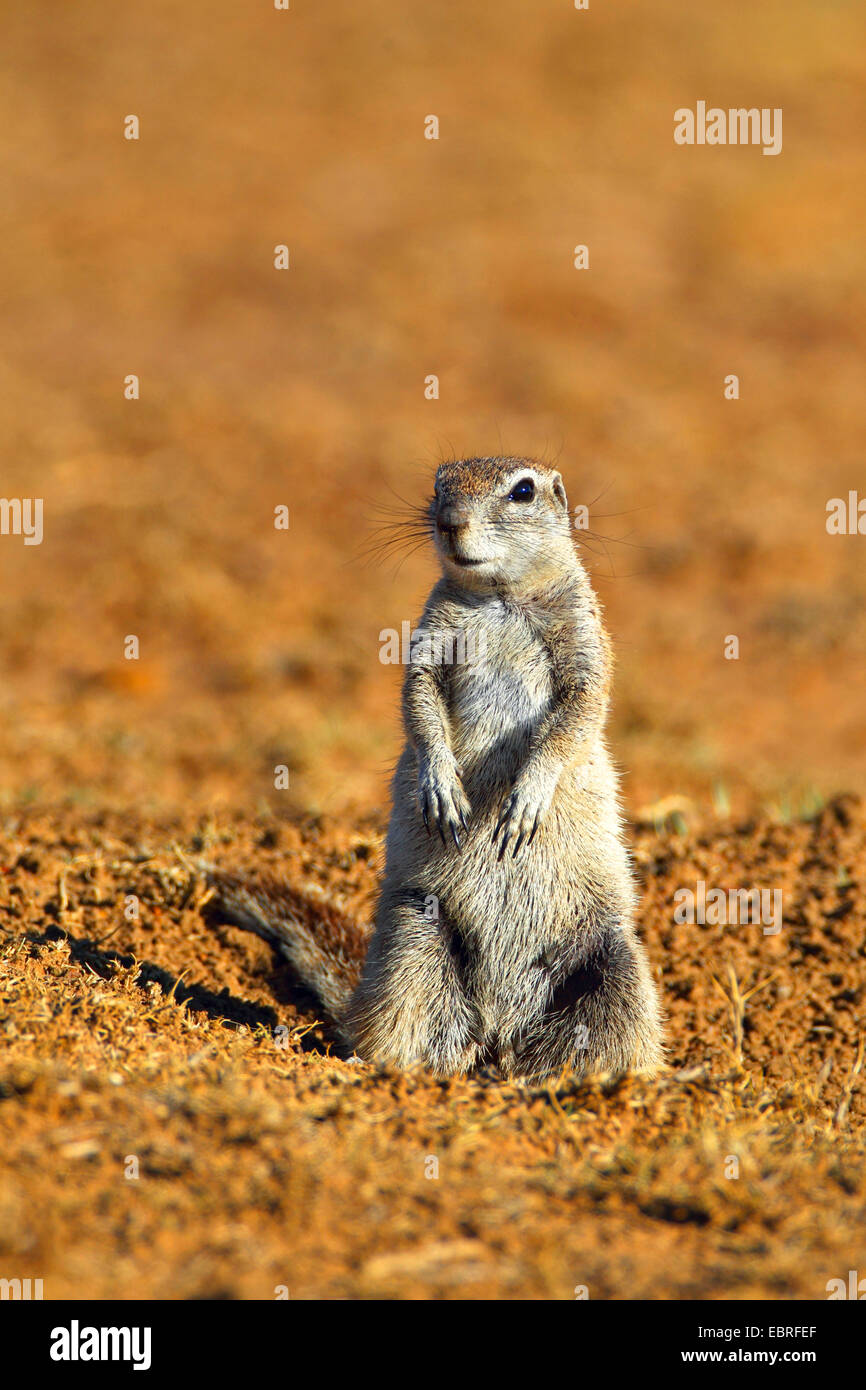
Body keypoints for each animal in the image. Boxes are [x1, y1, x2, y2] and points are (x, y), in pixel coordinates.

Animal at [204, 457, 663, 1082]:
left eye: (523, 490)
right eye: (440, 483)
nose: (449, 521)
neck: (498, 596)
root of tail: (499, 1034)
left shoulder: (584, 638)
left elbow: (578, 711)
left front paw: (526, 798)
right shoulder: (429, 634)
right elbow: (418, 697)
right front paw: (442, 787)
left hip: (615, 969)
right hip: (412, 939)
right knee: (403, 1028)